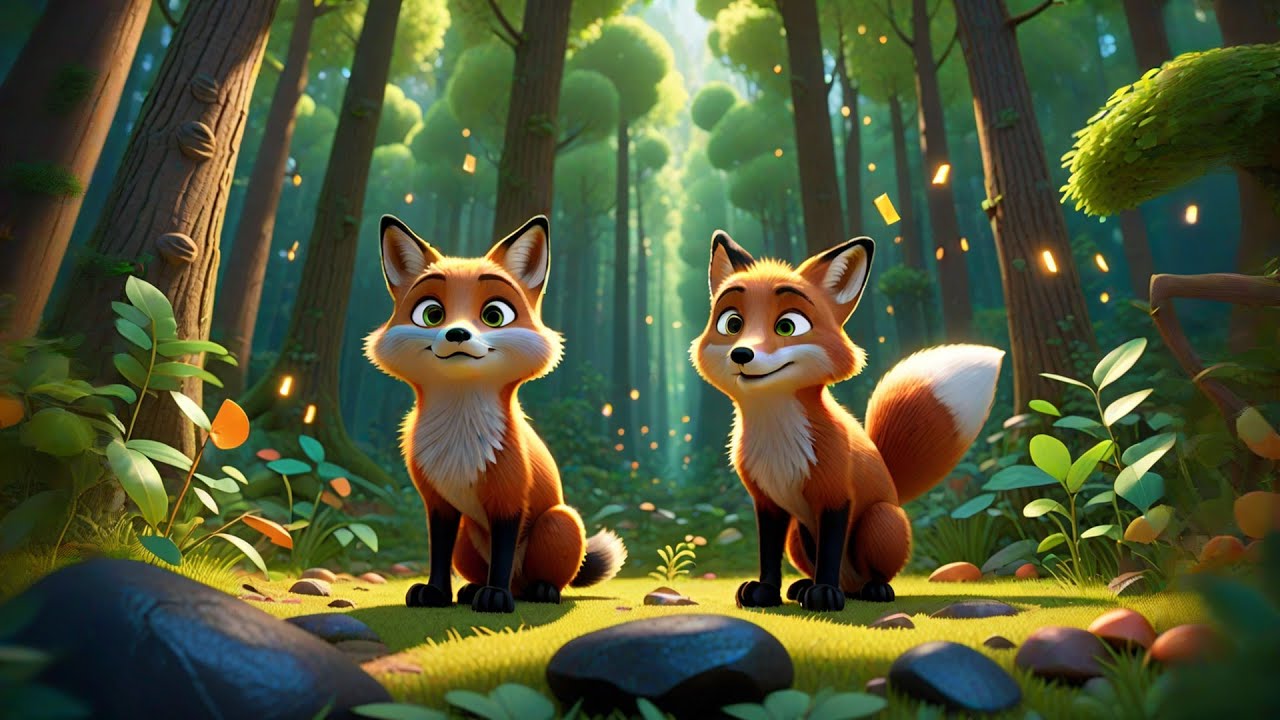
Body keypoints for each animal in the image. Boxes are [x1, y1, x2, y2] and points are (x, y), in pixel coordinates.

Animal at [366, 214, 626, 613]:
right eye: (432, 314)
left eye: (494, 315)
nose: (457, 333)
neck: (459, 438)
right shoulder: (438, 503)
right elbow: (437, 554)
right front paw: (435, 594)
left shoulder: (509, 498)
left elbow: (502, 557)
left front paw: (496, 598)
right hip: (467, 538)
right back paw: (471, 589)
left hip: (559, 522)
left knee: (534, 579)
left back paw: (536, 591)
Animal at [691, 231, 1004, 611]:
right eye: (732, 324)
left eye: (787, 326)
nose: (741, 354)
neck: (777, 438)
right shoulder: (767, 500)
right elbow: (768, 554)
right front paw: (765, 592)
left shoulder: (836, 495)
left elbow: (830, 552)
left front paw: (824, 594)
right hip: (799, 535)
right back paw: (803, 587)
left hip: (880, 520)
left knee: (872, 573)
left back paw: (871, 590)